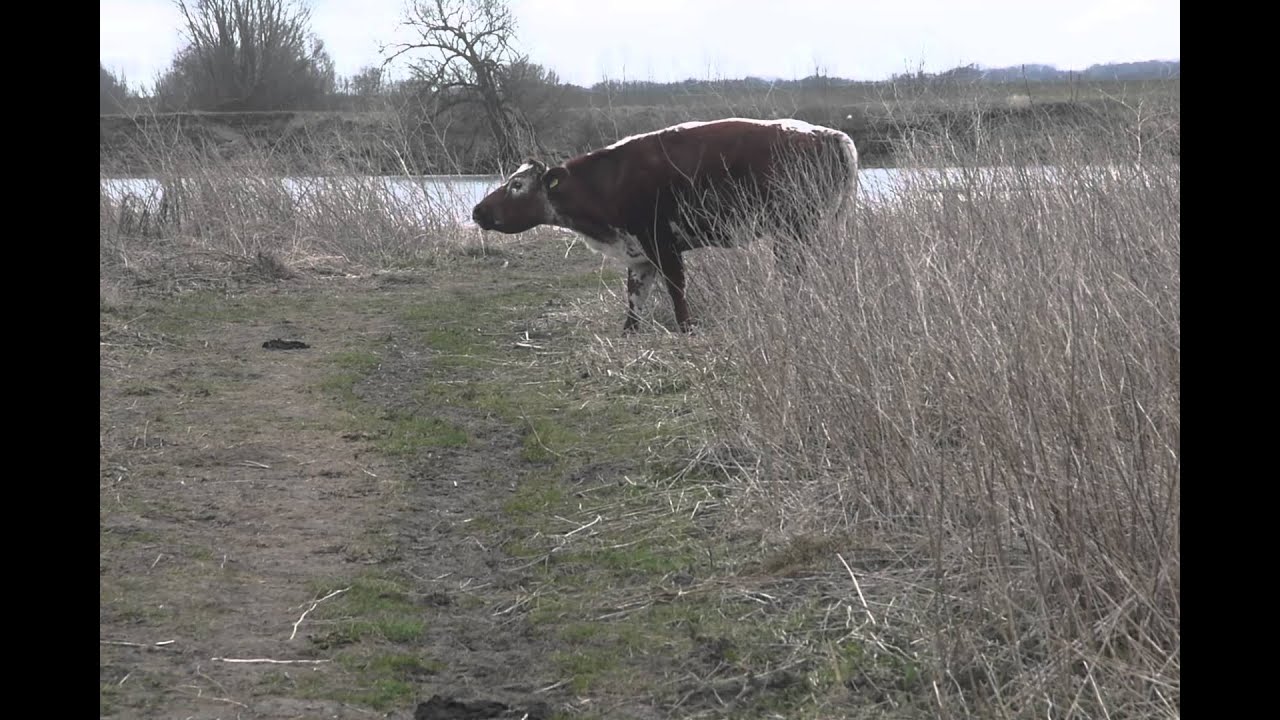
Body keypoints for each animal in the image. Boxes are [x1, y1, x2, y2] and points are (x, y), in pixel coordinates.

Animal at [470, 117, 859, 333]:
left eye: (517, 185)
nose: (477, 210)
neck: (609, 181)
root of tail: (829, 134)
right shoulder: (640, 255)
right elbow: (634, 301)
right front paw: (629, 333)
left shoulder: (663, 244)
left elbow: (677, 291)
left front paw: (687, 329)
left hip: (797, 231)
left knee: (795, 275)